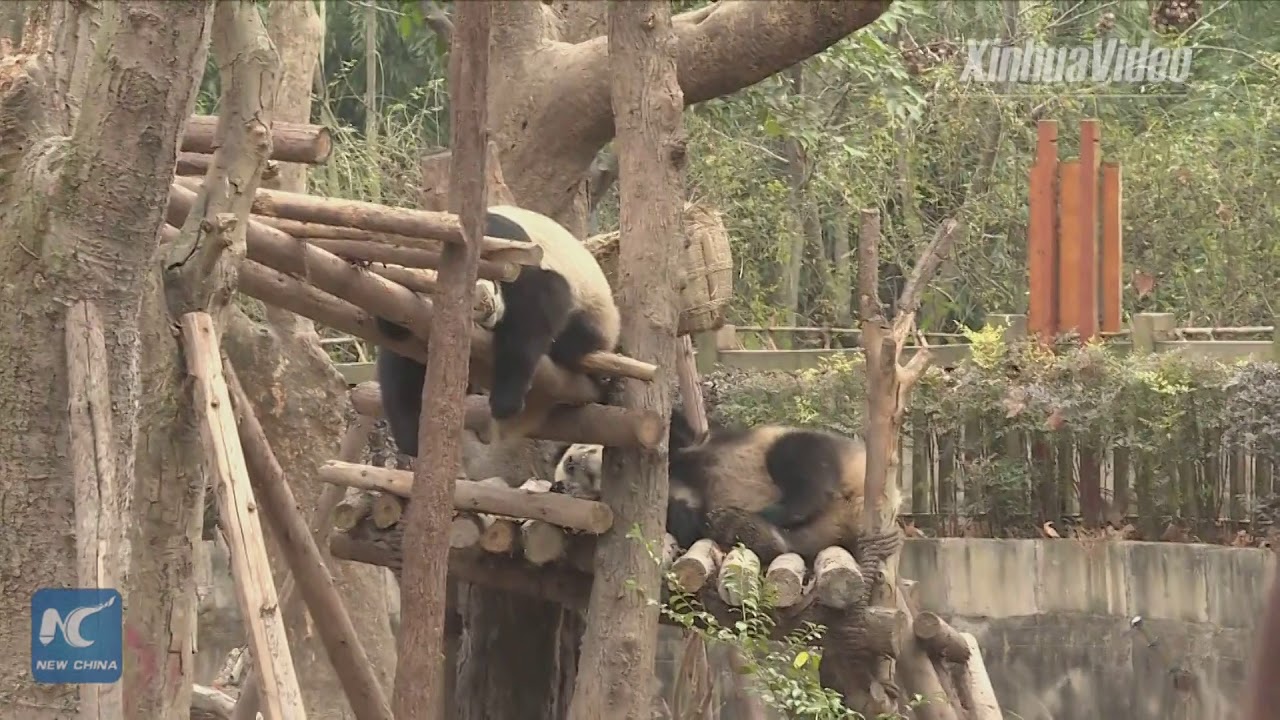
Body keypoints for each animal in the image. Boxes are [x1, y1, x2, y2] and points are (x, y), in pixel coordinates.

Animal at [375, 205, 621, 457]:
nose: (487, 304)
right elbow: (400, 359)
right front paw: (411, 435)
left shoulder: (508, 250)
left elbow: (536, 306)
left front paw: (506, 401)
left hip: (594, 314)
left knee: (571, 340)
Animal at [551, 409, 886, 566]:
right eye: (567, 471)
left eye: (576, 451)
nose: (574, 463)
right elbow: (685, 522)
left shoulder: (685, 444)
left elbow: (675, 430)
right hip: (824, 536)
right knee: (793, 542)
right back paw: (746, 527)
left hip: (790, 444)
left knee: (800, 461)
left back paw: (777, 510)